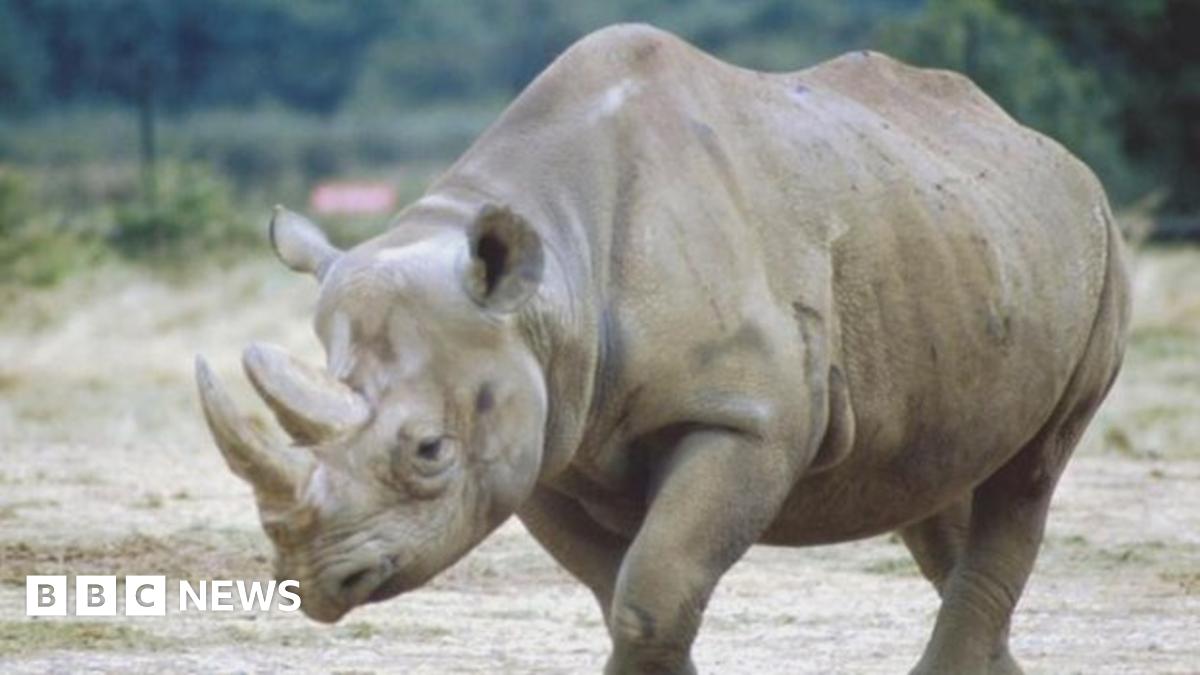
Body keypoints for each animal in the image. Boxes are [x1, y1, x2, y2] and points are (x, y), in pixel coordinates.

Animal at [195, 24, 1130, 675]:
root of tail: (1039, 142)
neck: (551, 281)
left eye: (428, 450)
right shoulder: (543, 439)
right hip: (954, 236)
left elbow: (649, 595)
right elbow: (626, 596)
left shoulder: (747, 418)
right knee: (936, 475)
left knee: (1031, 471)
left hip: (1099, 241)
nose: (318, 581)